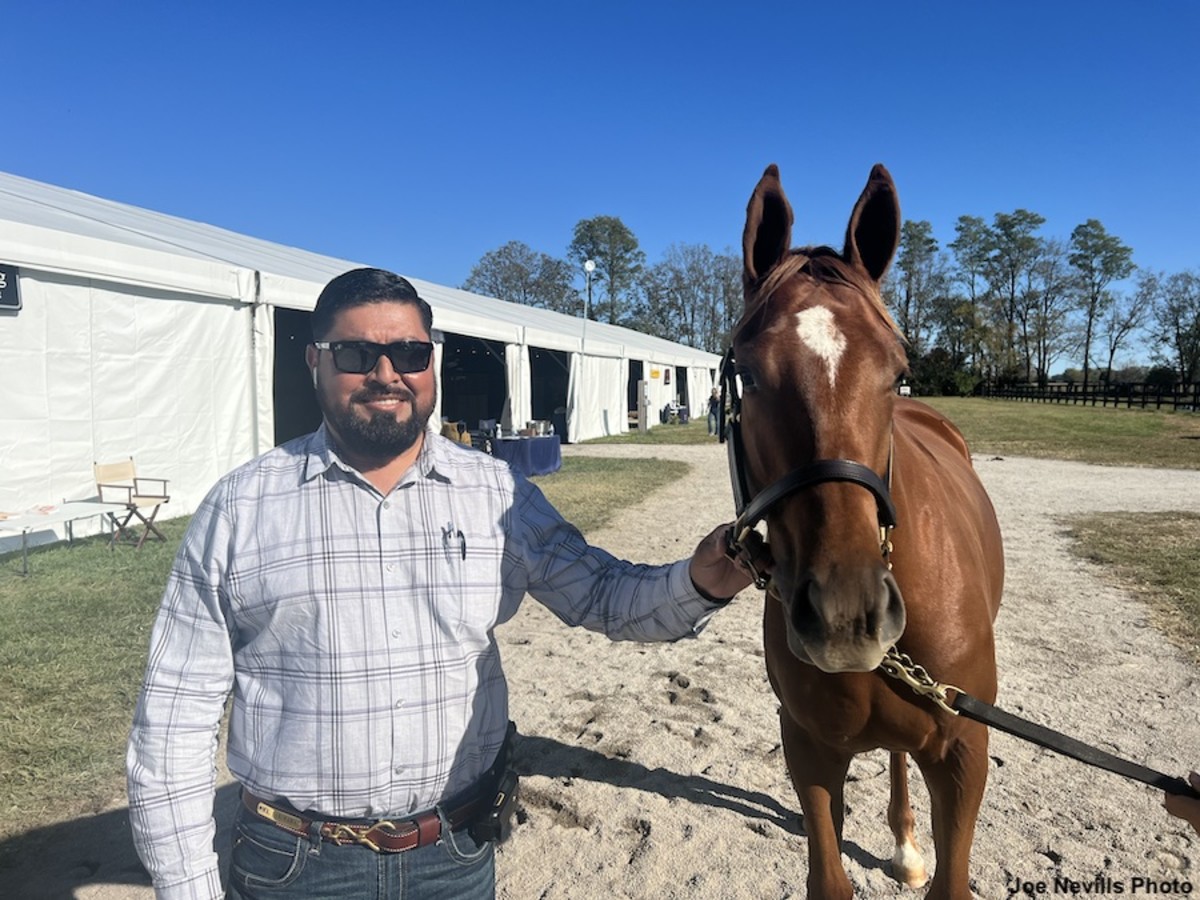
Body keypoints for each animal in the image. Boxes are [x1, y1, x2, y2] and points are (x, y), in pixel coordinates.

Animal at [725, 164, 1004, 899]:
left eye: (898, 370)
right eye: (746, 373)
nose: (847, 616)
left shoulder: (964, 751)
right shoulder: (809, 749)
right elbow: (829, 874)